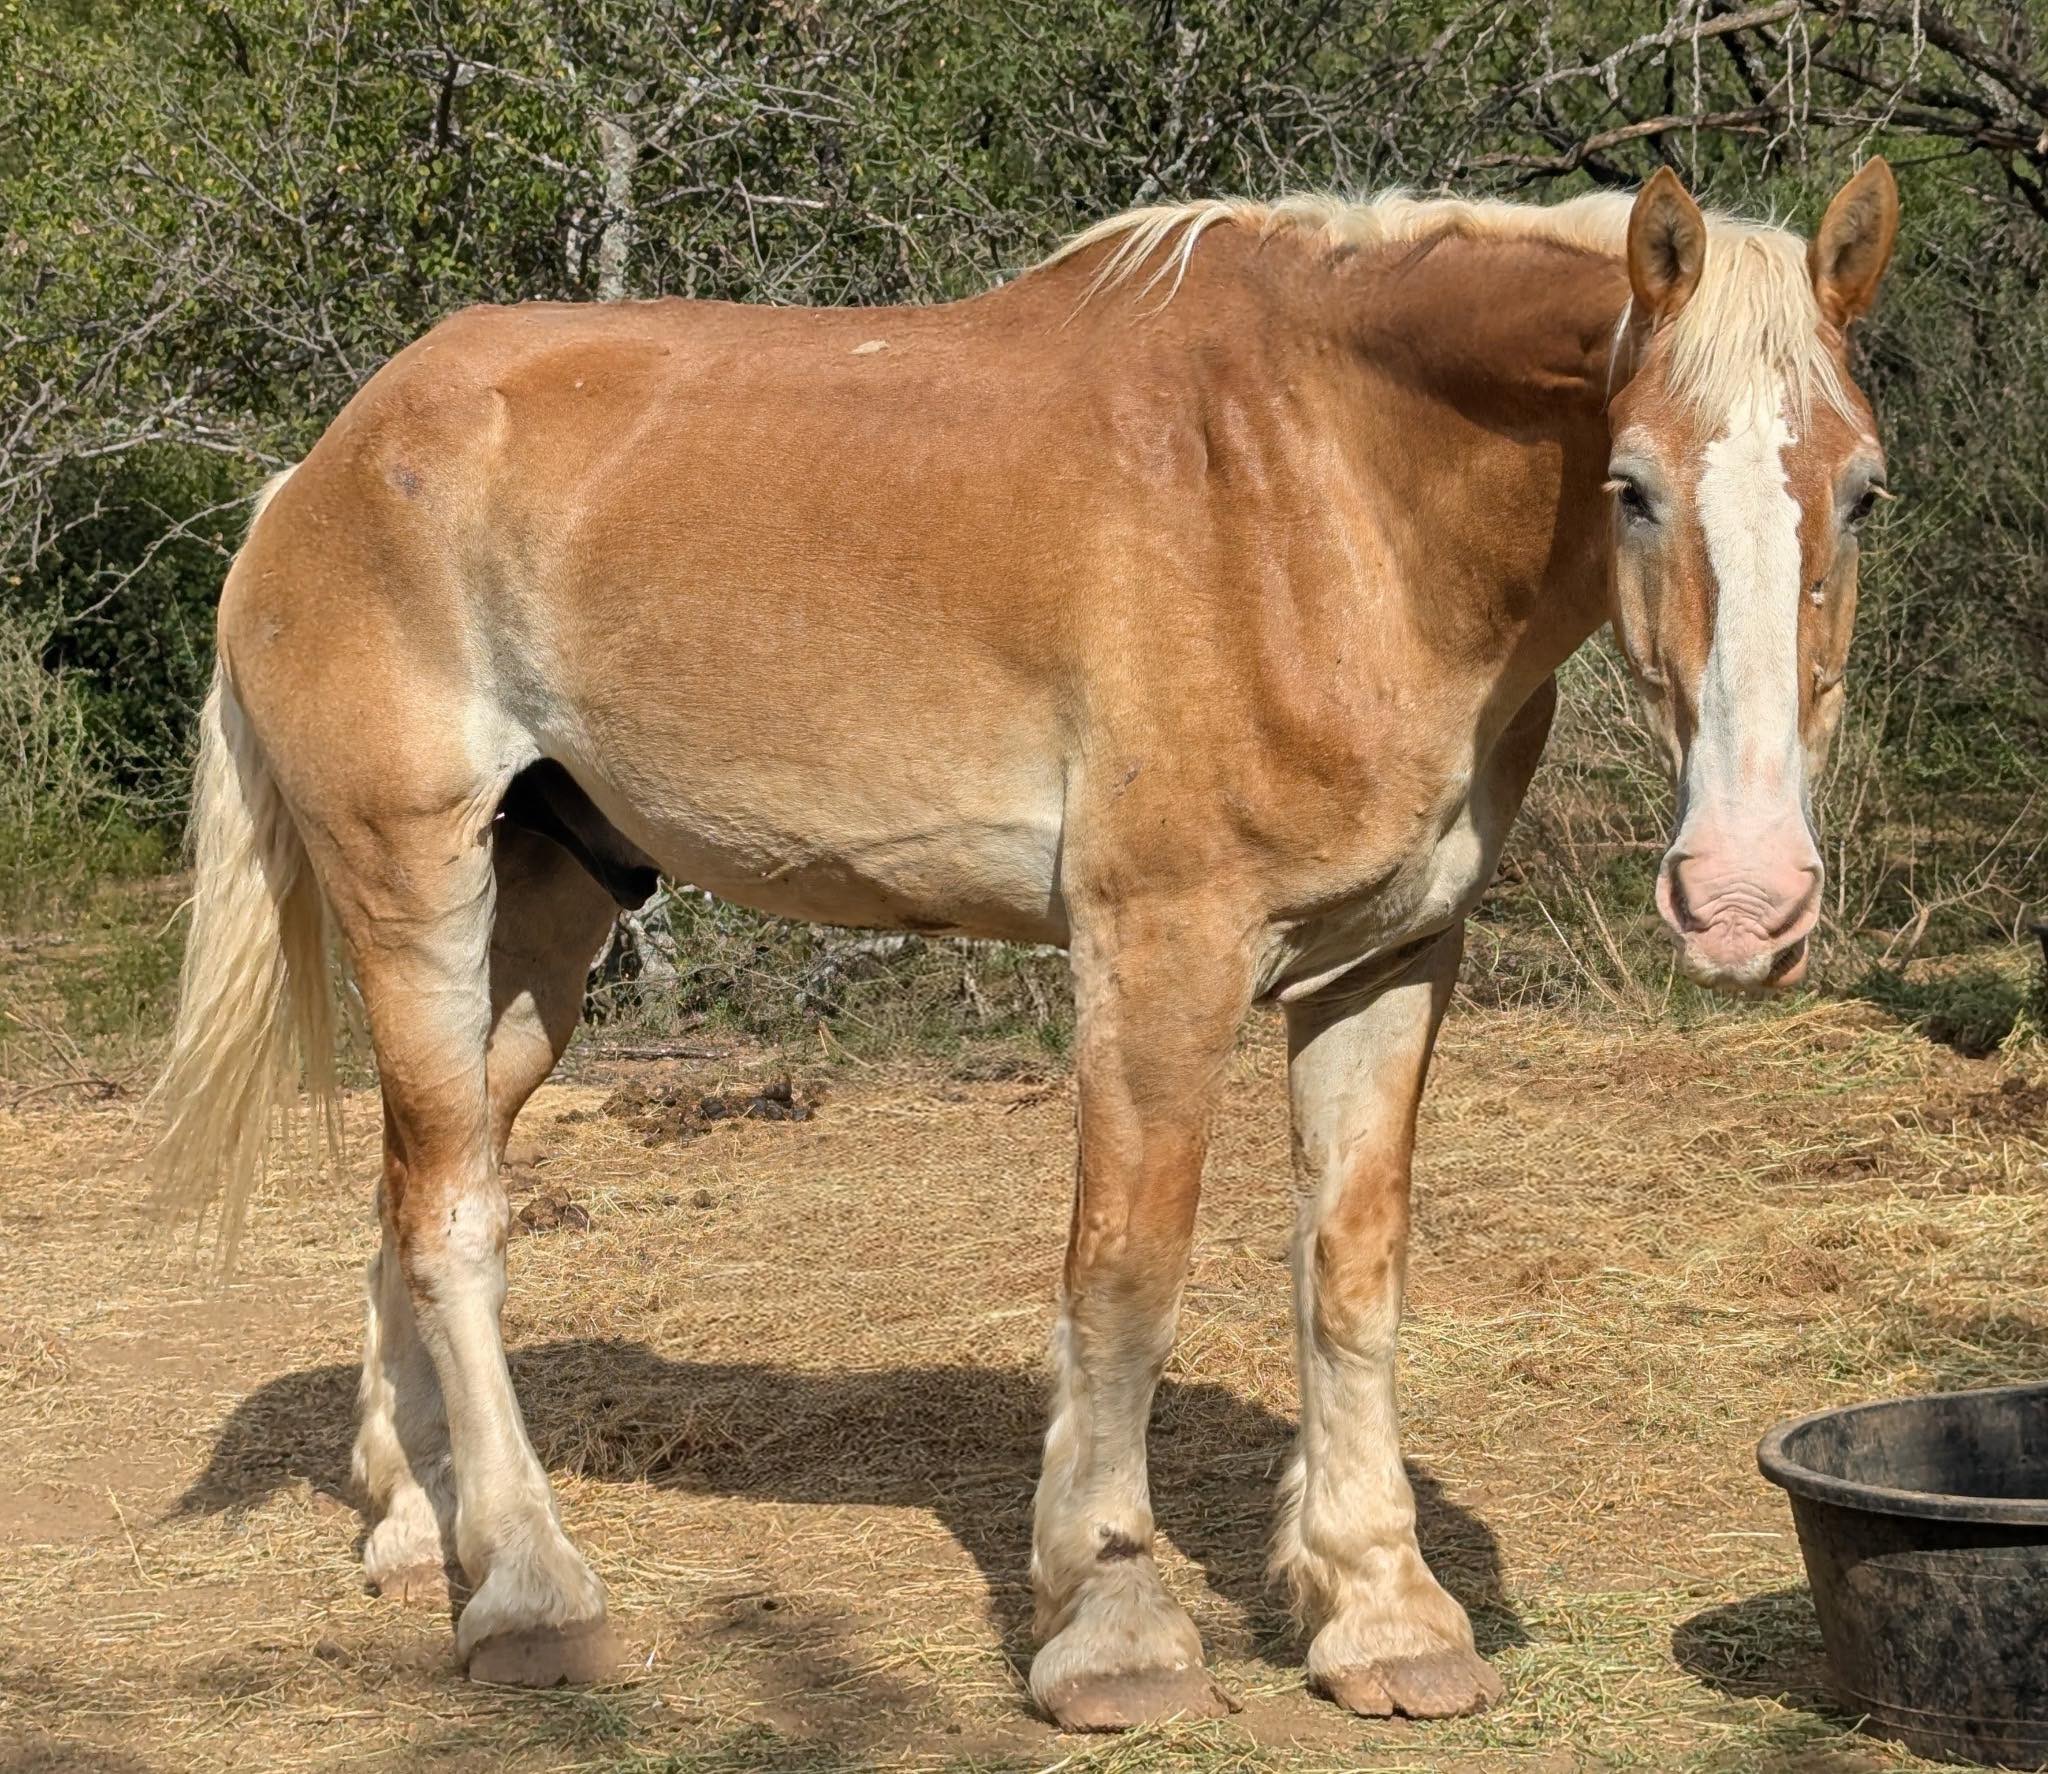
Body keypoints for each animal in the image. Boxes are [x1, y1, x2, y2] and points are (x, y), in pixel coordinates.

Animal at [147, 161, 1898, 1727]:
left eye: (1866, 487)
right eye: (1633, 483)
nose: (1746, 897)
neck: (1323, 495)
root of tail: (324, 467)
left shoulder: (1386, 959)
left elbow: (1352, 1271)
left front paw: (1385, 1612)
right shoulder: (1161, 948)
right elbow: (1124, 1277)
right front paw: (1114, 1628)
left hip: (541, 929)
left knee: (415, 1188)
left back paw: (412, 1528)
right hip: (414, 889)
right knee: (455, 1219)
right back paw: (527, 1591)